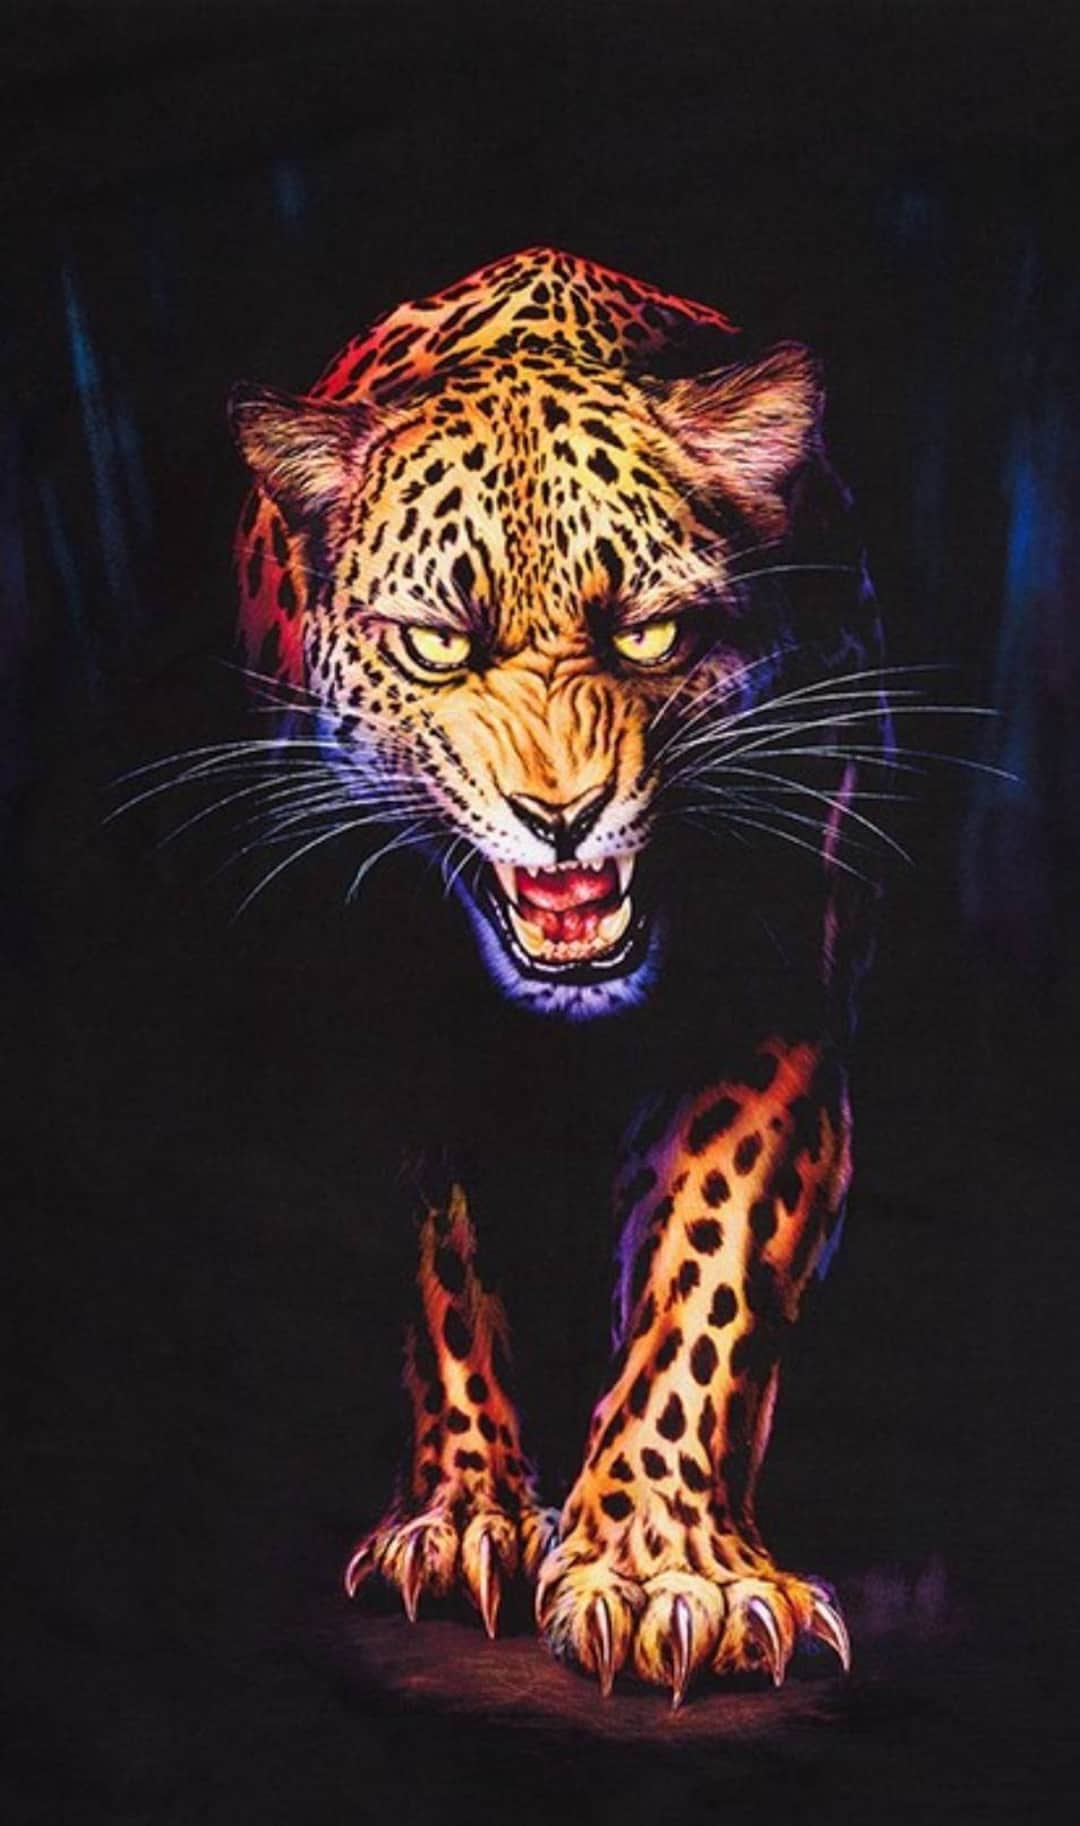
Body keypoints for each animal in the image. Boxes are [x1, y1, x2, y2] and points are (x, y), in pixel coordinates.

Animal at [227, 246, 889, 1705]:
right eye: (435, 644)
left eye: (648, 635)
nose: (564, 813)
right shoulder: (400, 1025)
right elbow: (445, 1270)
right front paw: (463, 1514)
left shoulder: (774, 1002)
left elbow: (708, 1267)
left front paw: (667, 1565)